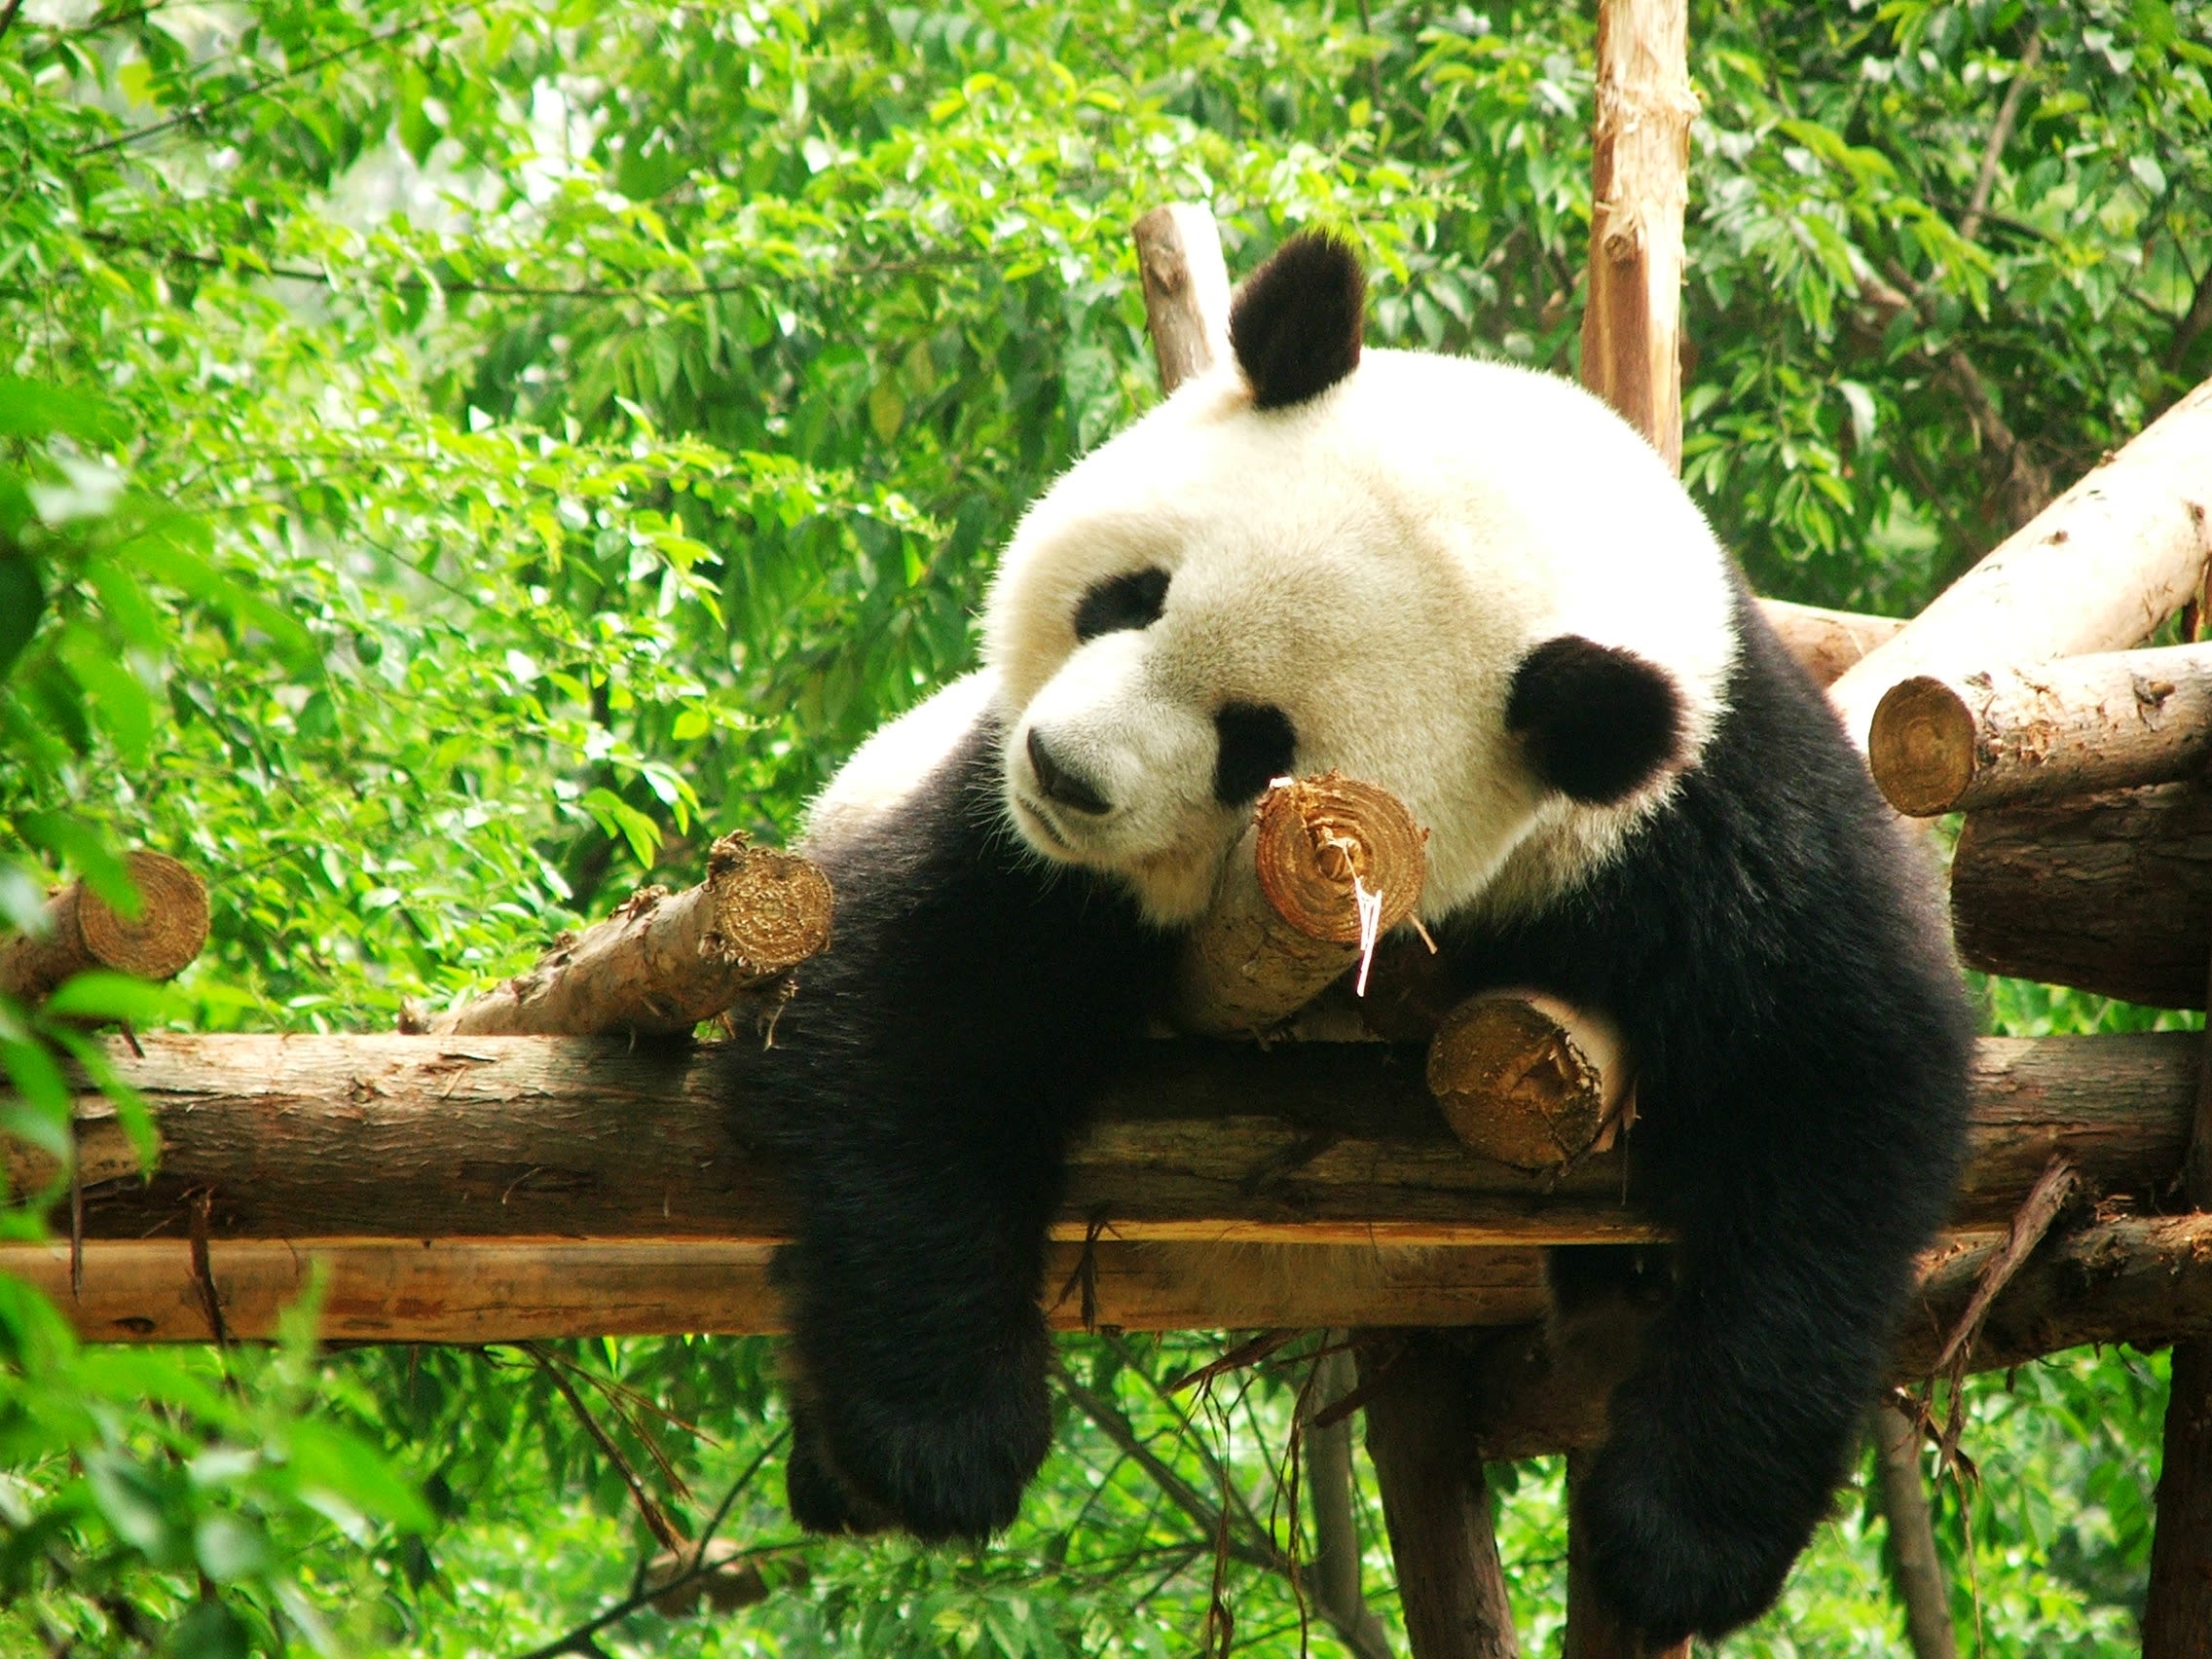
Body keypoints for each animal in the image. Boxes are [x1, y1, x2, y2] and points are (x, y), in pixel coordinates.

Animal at [726, 231, 1974, 1645]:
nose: (1066, 774)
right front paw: (938, 1442)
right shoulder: (1002, 831)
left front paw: (1682, 1541)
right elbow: (925, 1018)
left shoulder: (1709, 814)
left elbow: (1837, 1091)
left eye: (1255, 745)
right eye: (1131, 598)